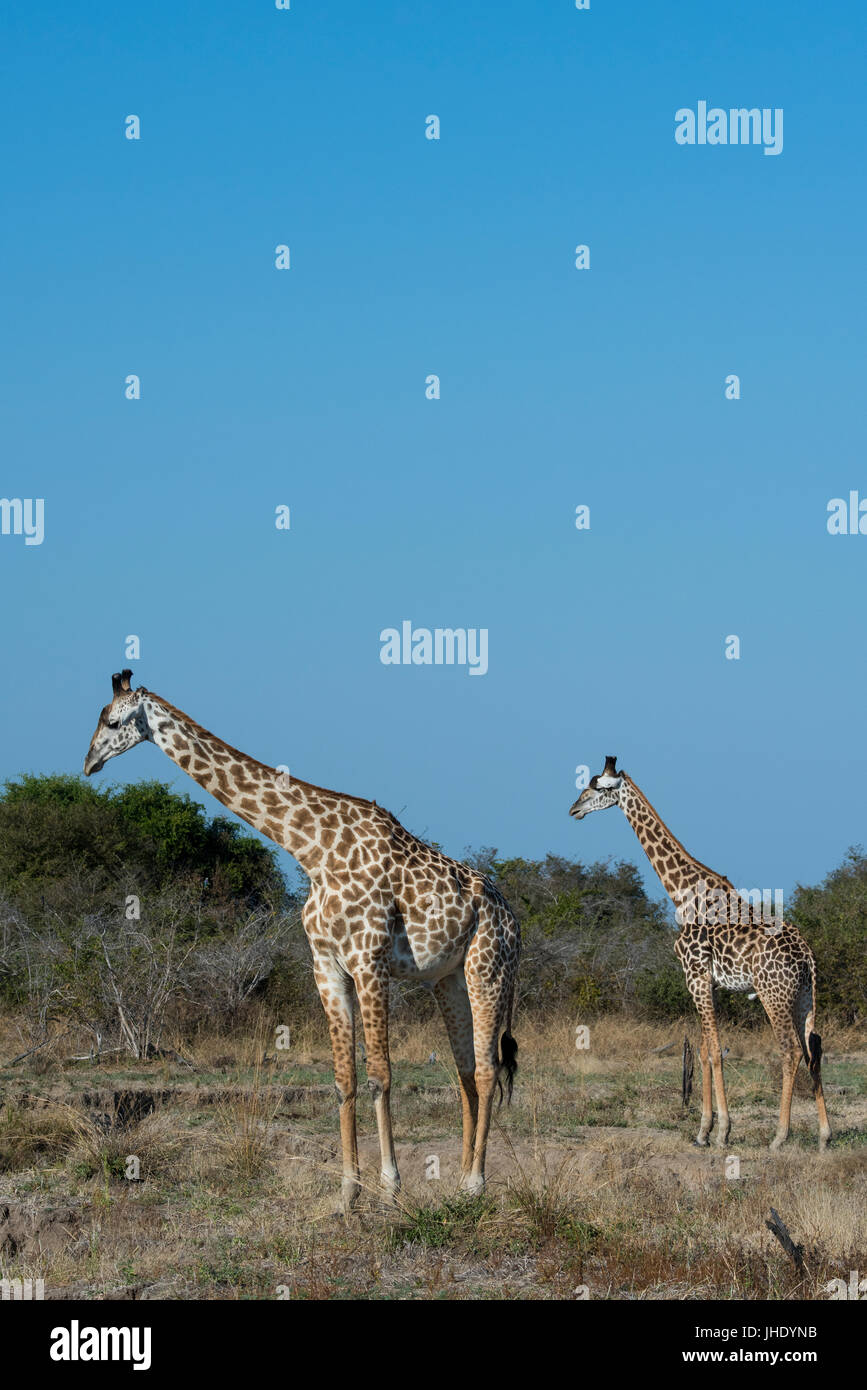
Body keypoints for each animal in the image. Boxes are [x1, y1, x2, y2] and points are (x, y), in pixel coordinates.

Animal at [83, 671, 520, 1208]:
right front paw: (347, 1194)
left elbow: (380, 1075)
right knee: (466, 1073)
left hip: (489, 969)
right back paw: (458, 1183)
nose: (88, 763)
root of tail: (513, 918)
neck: (312, 849)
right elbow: (343, 1079)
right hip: (448, 979)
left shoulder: (370, 960)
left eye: (112, 721)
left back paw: (477, 1184)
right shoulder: (327, 965)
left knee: (488, 1069)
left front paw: (390, 1188)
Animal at [570, 757, 831, 1152]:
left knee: (791, 1050)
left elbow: (714, 1051)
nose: (573, 809)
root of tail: (807, 957)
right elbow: (707, 1051)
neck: (682, 892)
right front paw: (705, 1131)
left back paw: (779, 1136)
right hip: (804, 995)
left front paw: (720, 1132)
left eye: (597, 788)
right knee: (814, 1047)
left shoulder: (694, 976)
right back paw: (824, 1135)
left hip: (773, 993)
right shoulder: (710, 983)